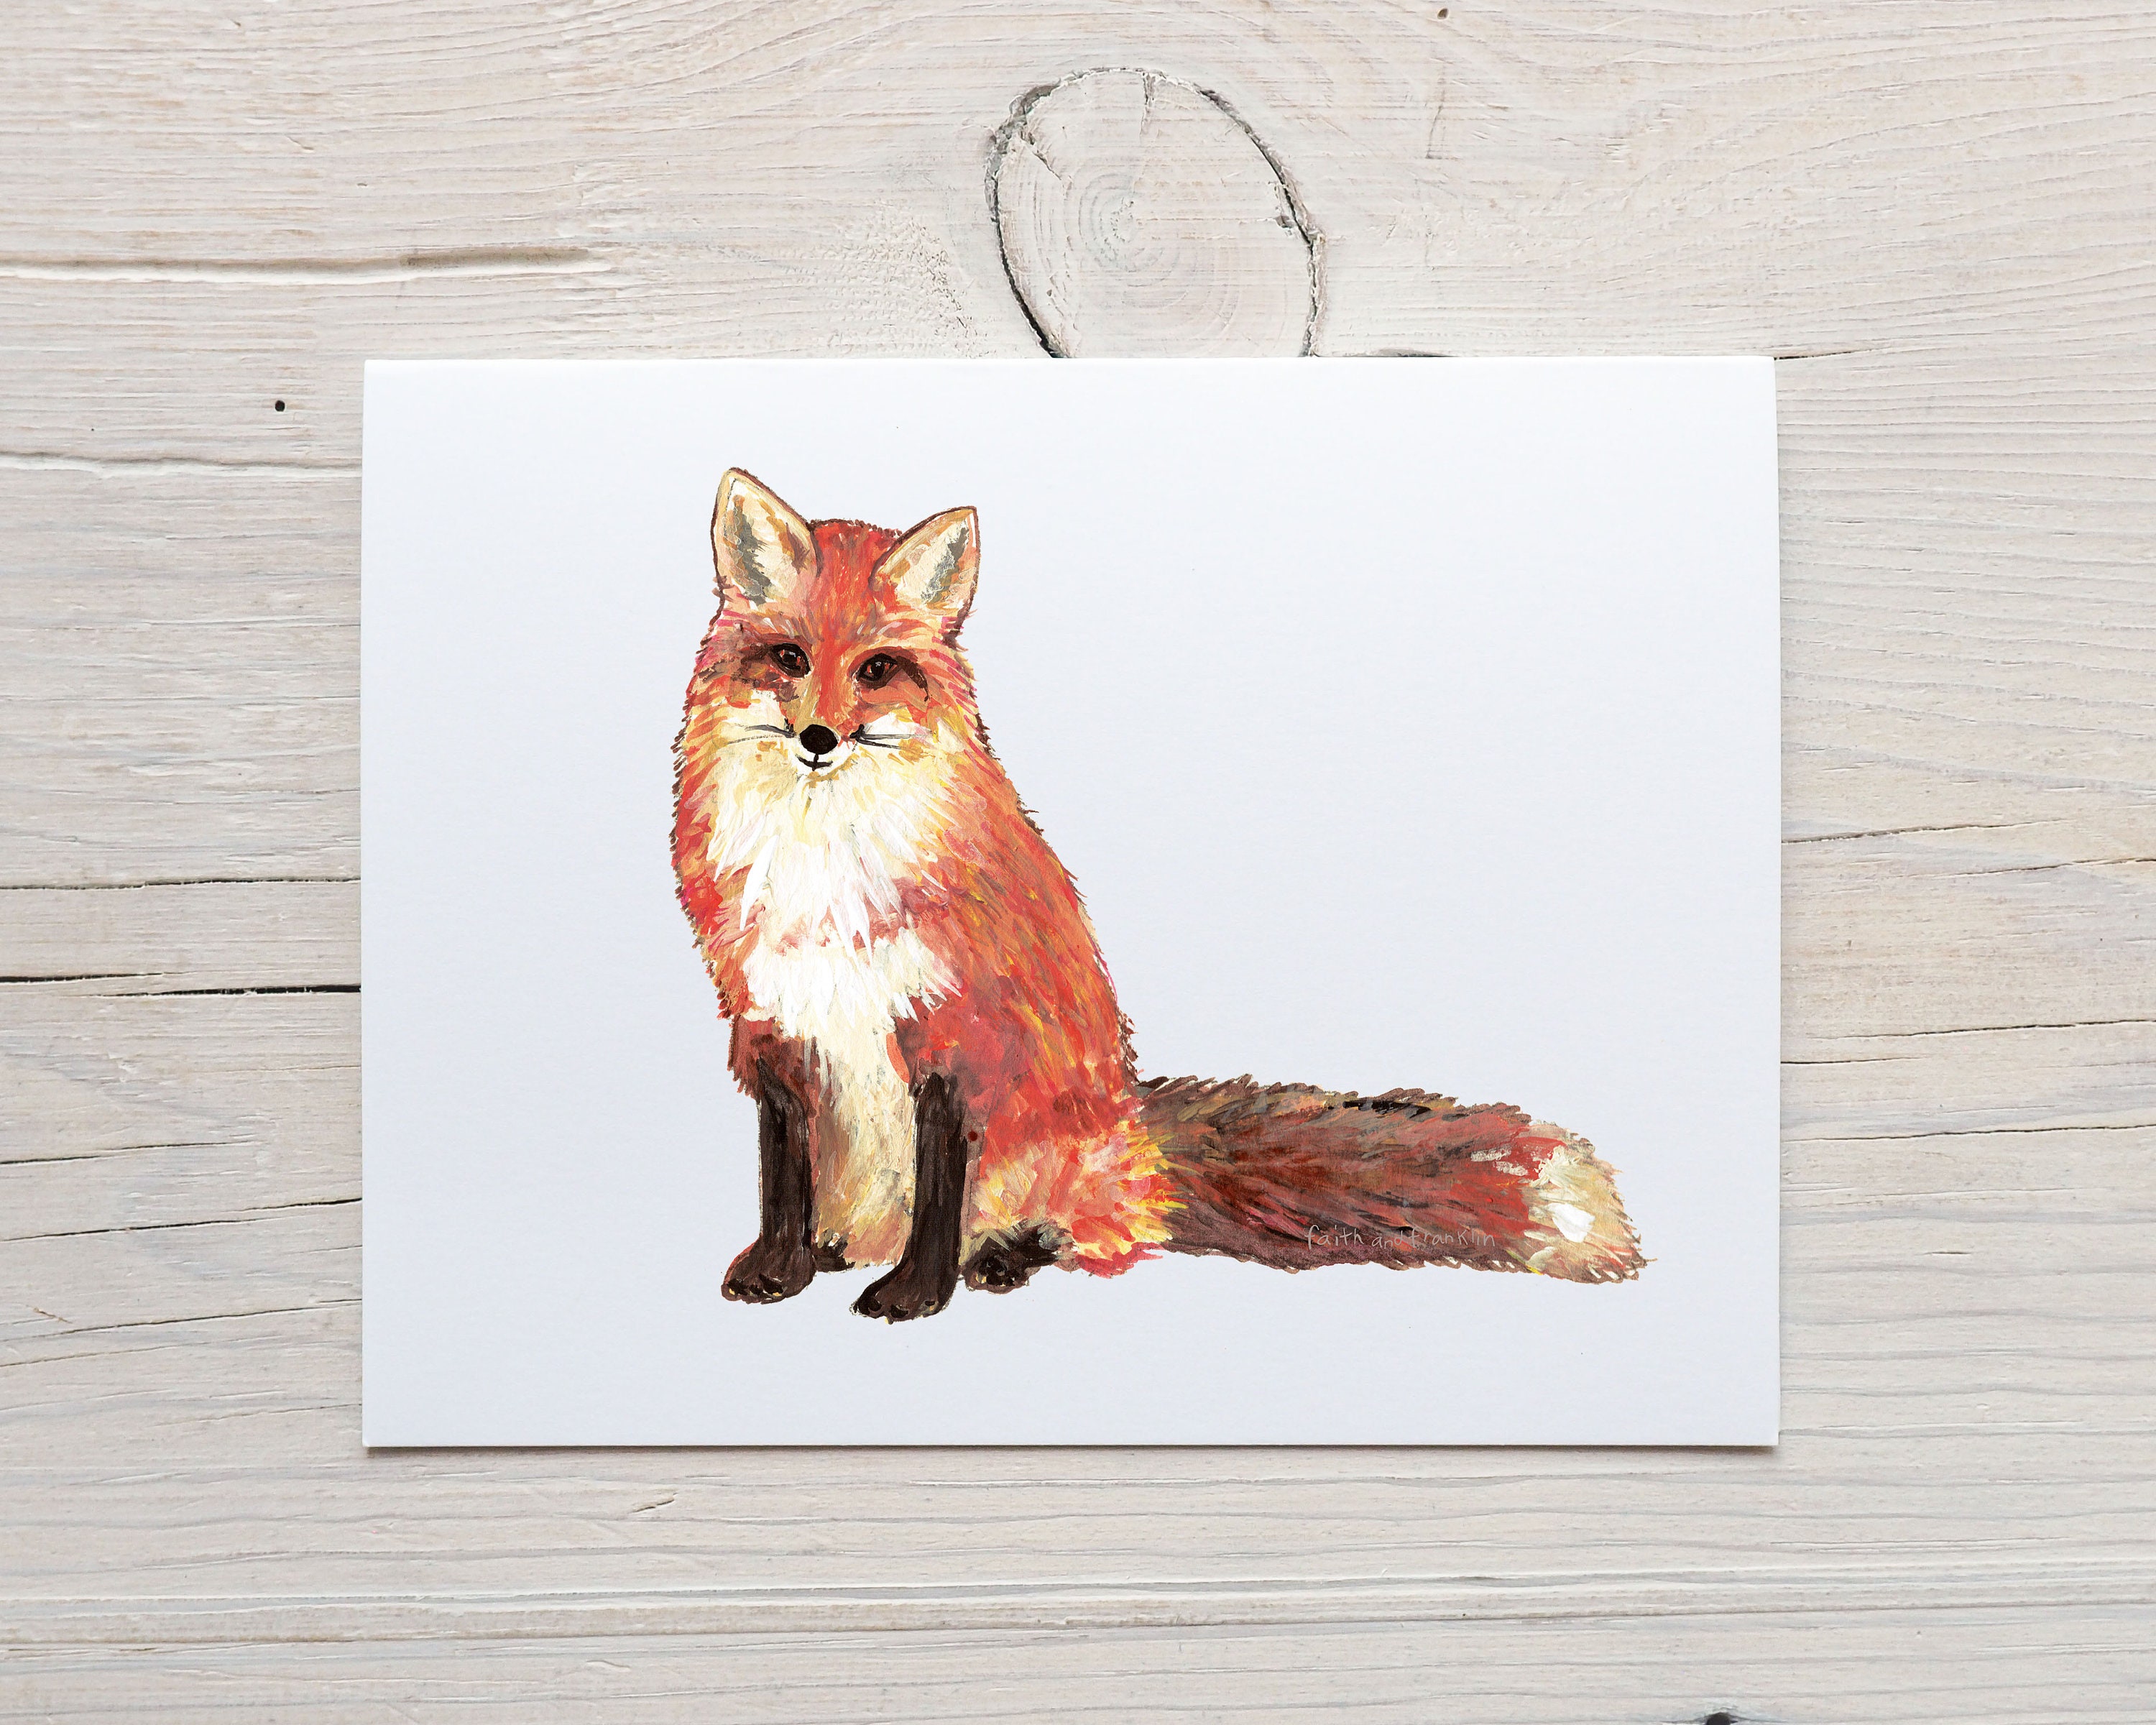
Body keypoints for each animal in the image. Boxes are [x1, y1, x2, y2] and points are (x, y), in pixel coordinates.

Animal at [672, 469, 1642, 1321]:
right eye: (790, 658)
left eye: (875, 669)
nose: (820, 738)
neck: (824, 860)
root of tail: (1139, 1122)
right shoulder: (771, 1028)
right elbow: (783, 1177)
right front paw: (781, 1268)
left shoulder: (958, 1034)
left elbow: (940, 1192)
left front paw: (916, 1295)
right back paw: (845, 1250)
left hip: (1055, 1155)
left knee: (1088, 1228)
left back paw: (1003, 1257)